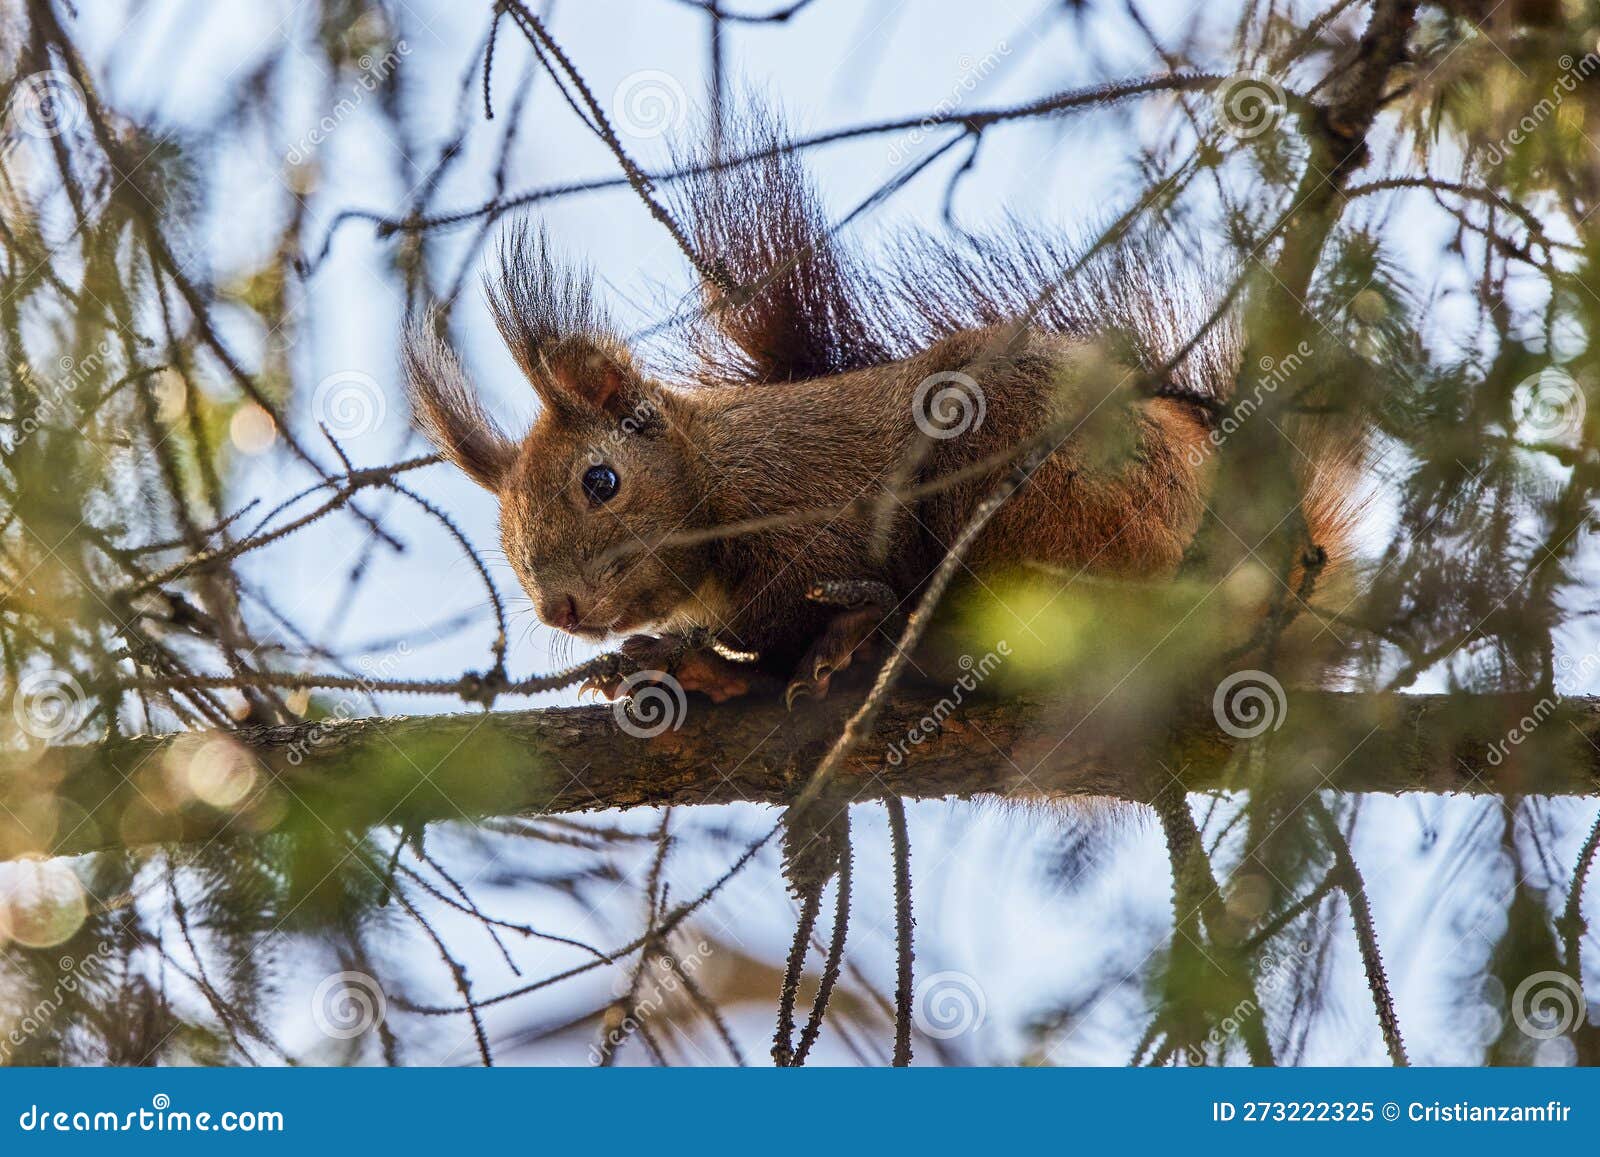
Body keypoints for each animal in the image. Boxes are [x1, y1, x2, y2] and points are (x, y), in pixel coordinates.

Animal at [403, 116, 1357, 706]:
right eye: (503, 540)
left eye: (600, 481)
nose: (559, 607)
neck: (715, 469)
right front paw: (692, 670)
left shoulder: (807, 504)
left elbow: (784, 606)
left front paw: (708, 652)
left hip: (1032, 486)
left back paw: (877, 637)